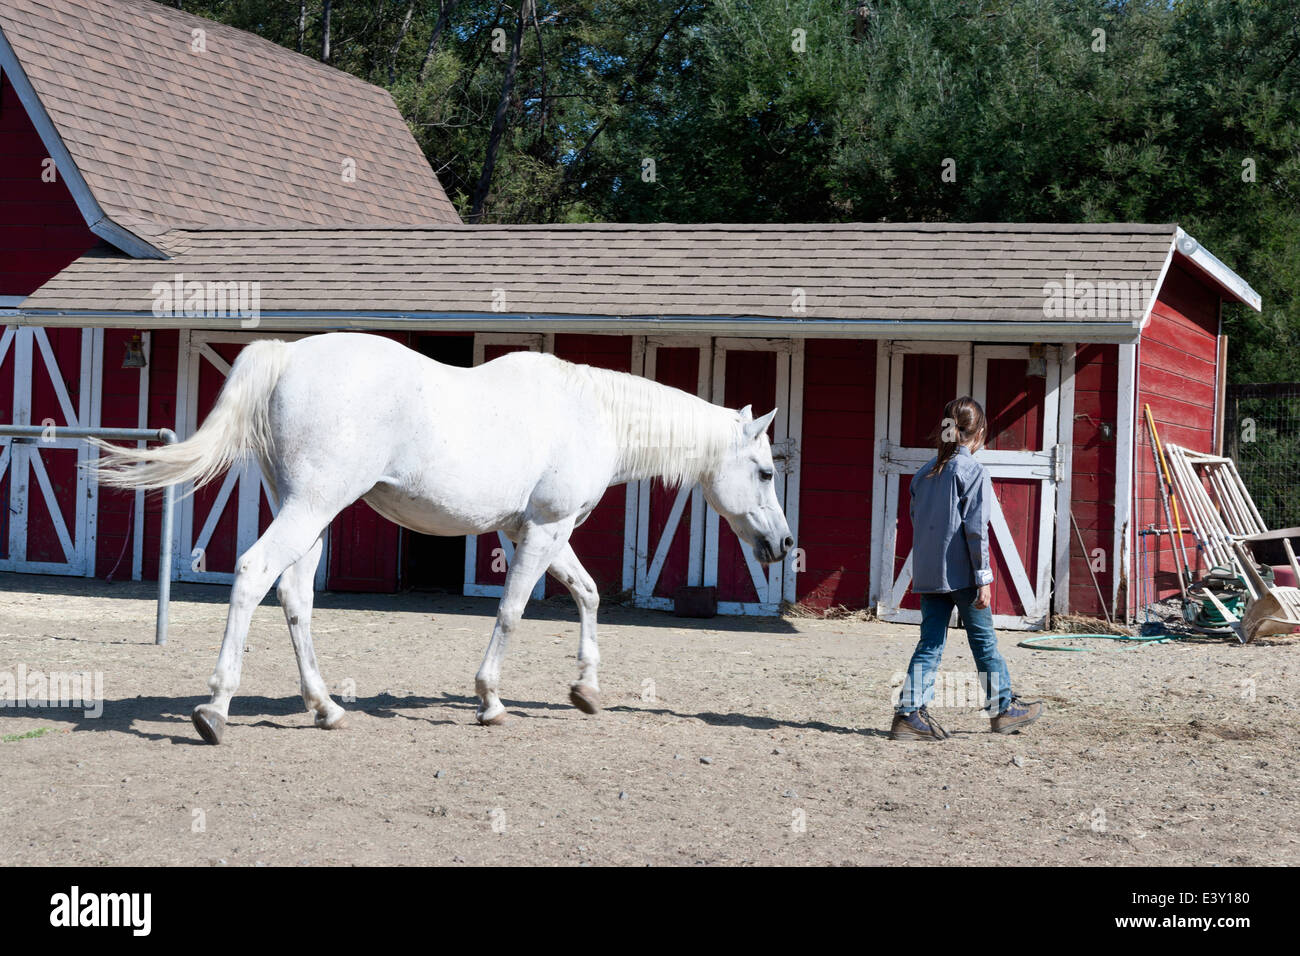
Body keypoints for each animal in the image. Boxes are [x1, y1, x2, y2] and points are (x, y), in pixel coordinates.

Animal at [93, 332, 794, 744]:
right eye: (764, 472)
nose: (783, 546)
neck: (590, 413)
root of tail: (289, 355)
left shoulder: (534, 530)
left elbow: (589, 594)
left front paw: (586, 690)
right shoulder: (544, 530)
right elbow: (512, 612)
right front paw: (491, 700)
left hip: (308, 513)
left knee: (295, 596)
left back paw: (326, 707)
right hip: (310, 507)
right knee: (252, 574)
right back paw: (215, 710)